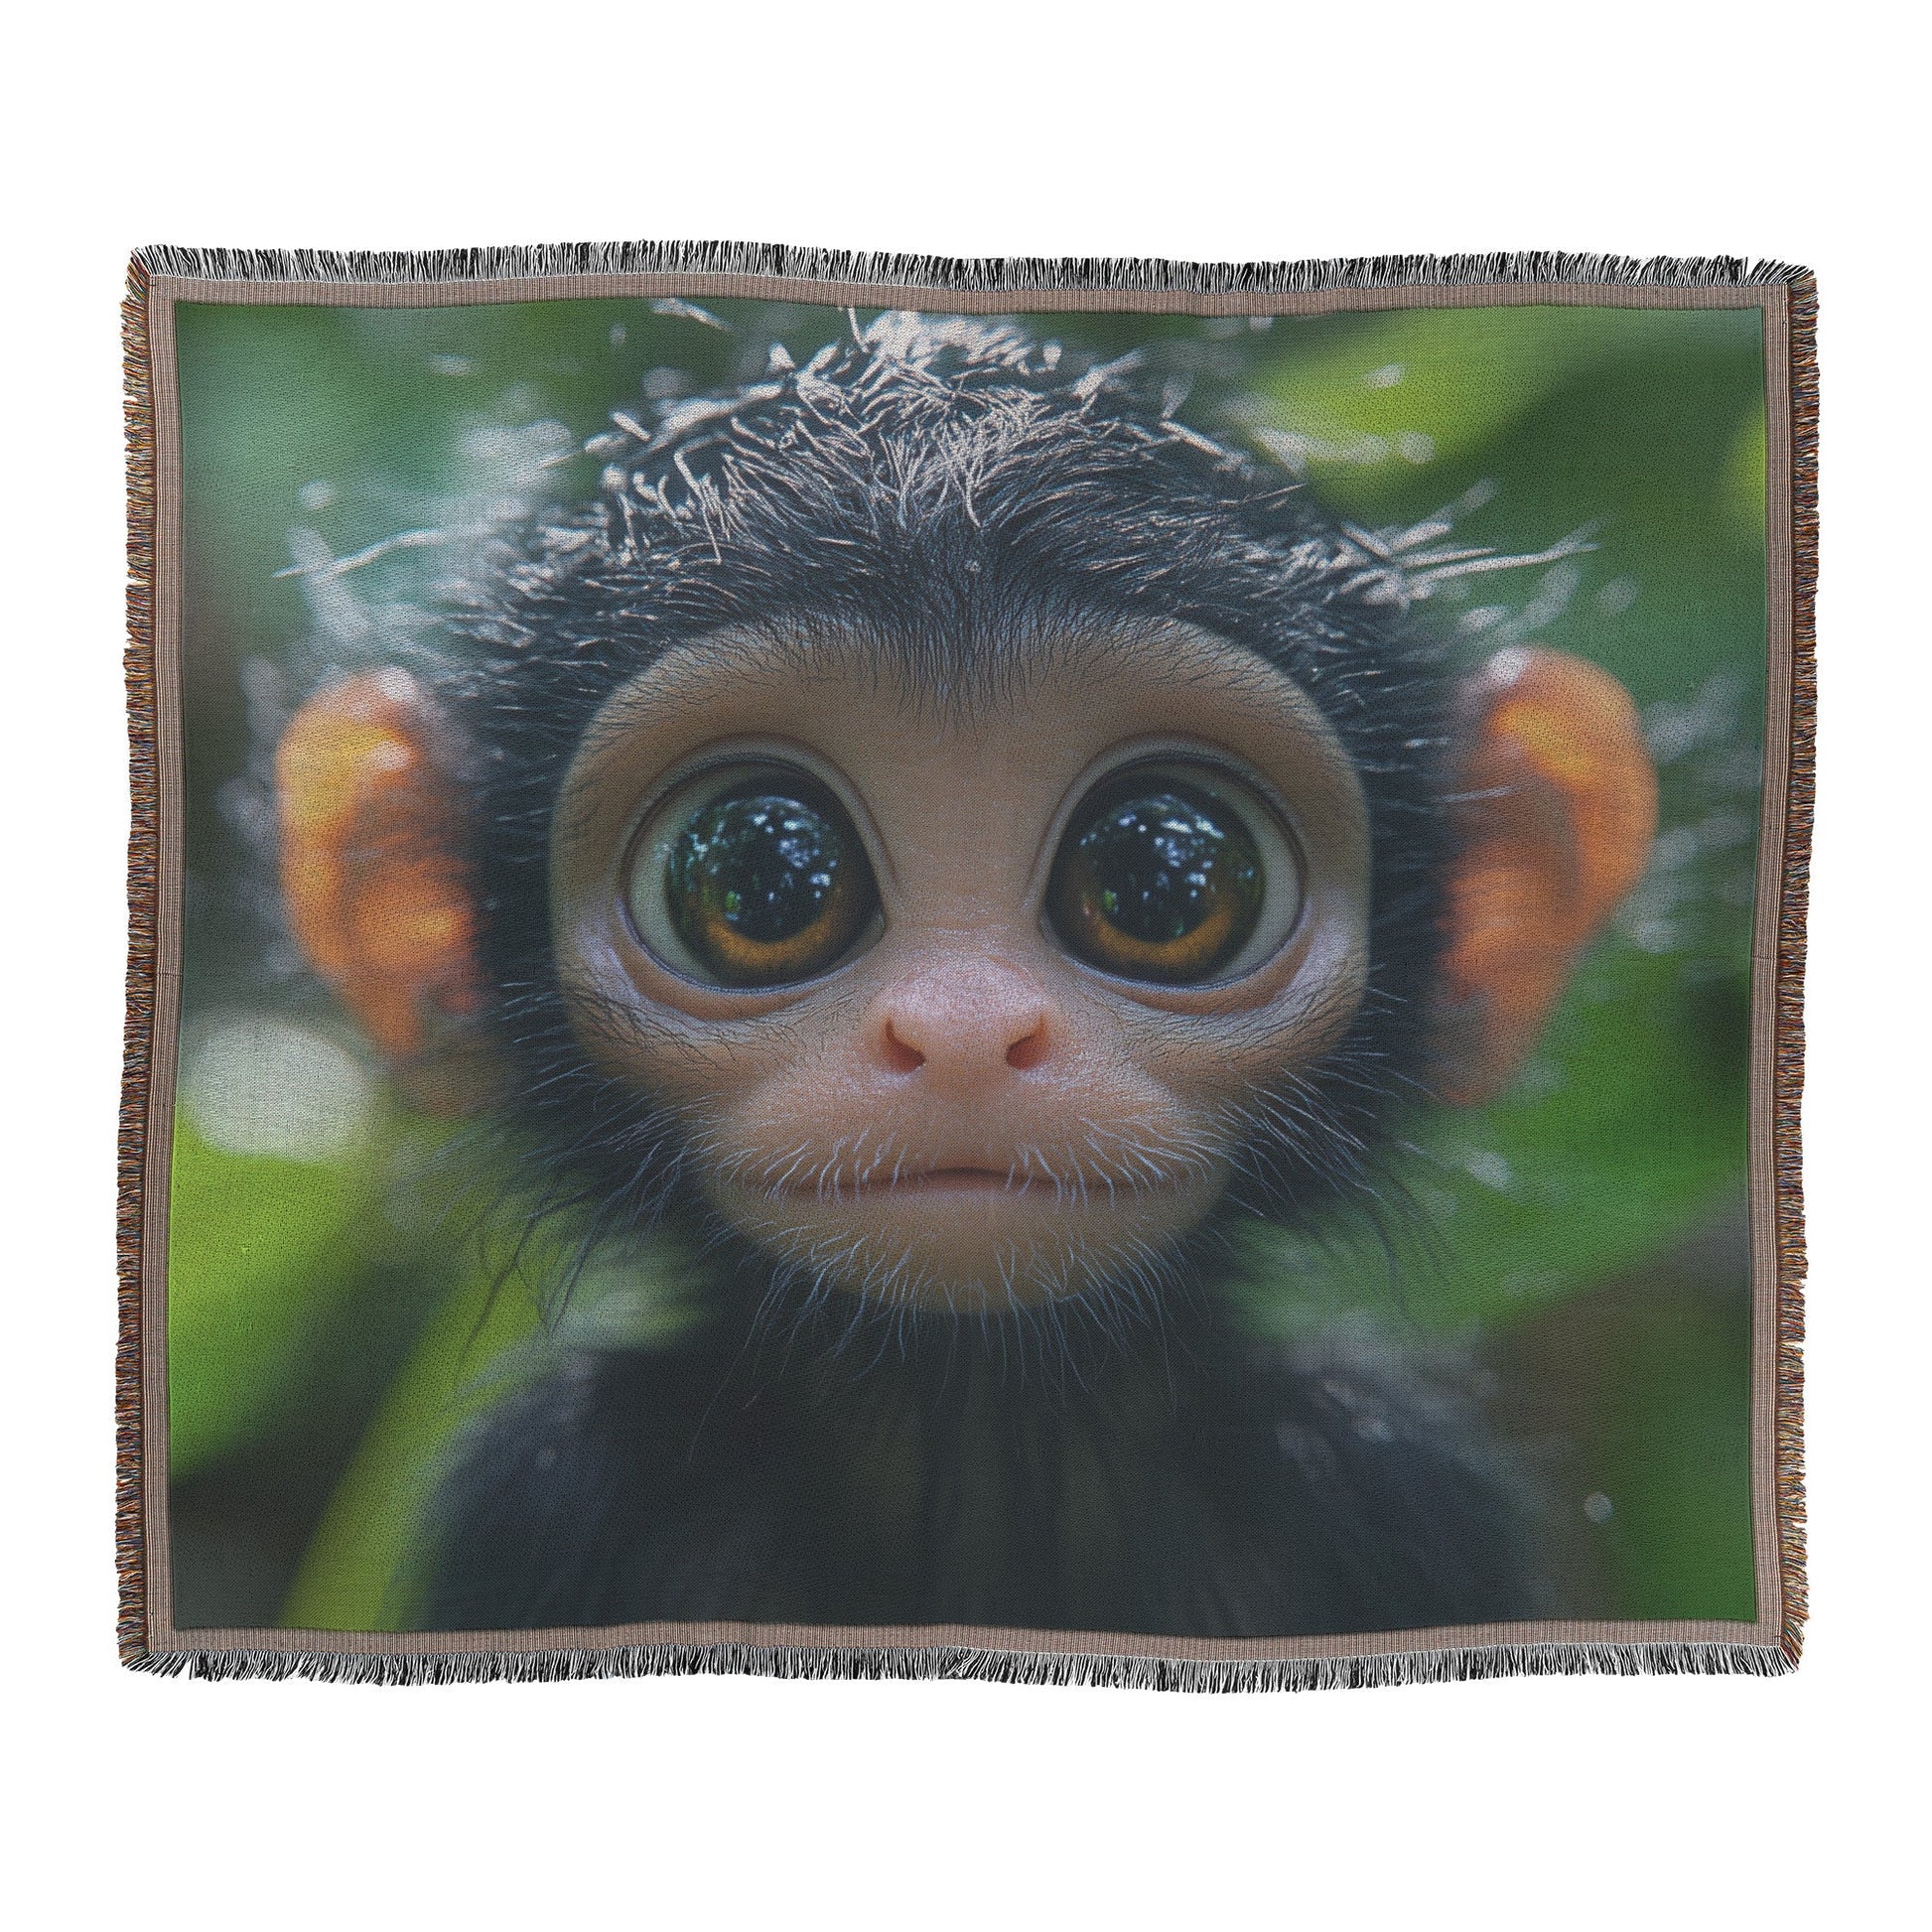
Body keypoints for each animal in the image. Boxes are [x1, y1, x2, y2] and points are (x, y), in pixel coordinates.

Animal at [272, 313, 1656, 1639]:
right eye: (757, 879)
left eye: (1162, 878)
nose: (963, 1032)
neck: (974, 1429)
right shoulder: (554, 1492)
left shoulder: (1389, 1486)